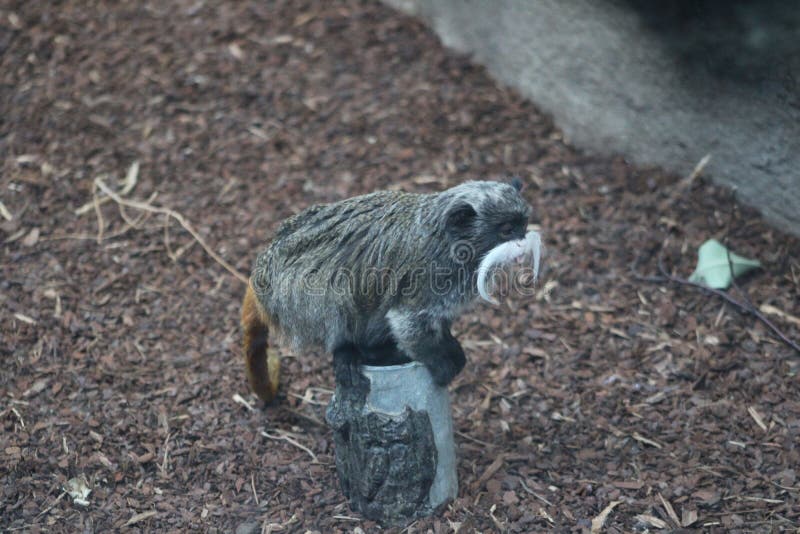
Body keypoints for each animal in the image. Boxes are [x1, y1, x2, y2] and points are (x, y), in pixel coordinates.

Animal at [241, 179, 542, 403]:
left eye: (523, 225)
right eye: (506, 230)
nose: (522, 243)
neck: (450, 242)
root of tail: (263, 269)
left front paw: (449, 344)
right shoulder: (430, 276)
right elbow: (406, 321)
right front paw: (443, 362)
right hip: (290, 295)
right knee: (335, 288)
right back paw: (348, 351)